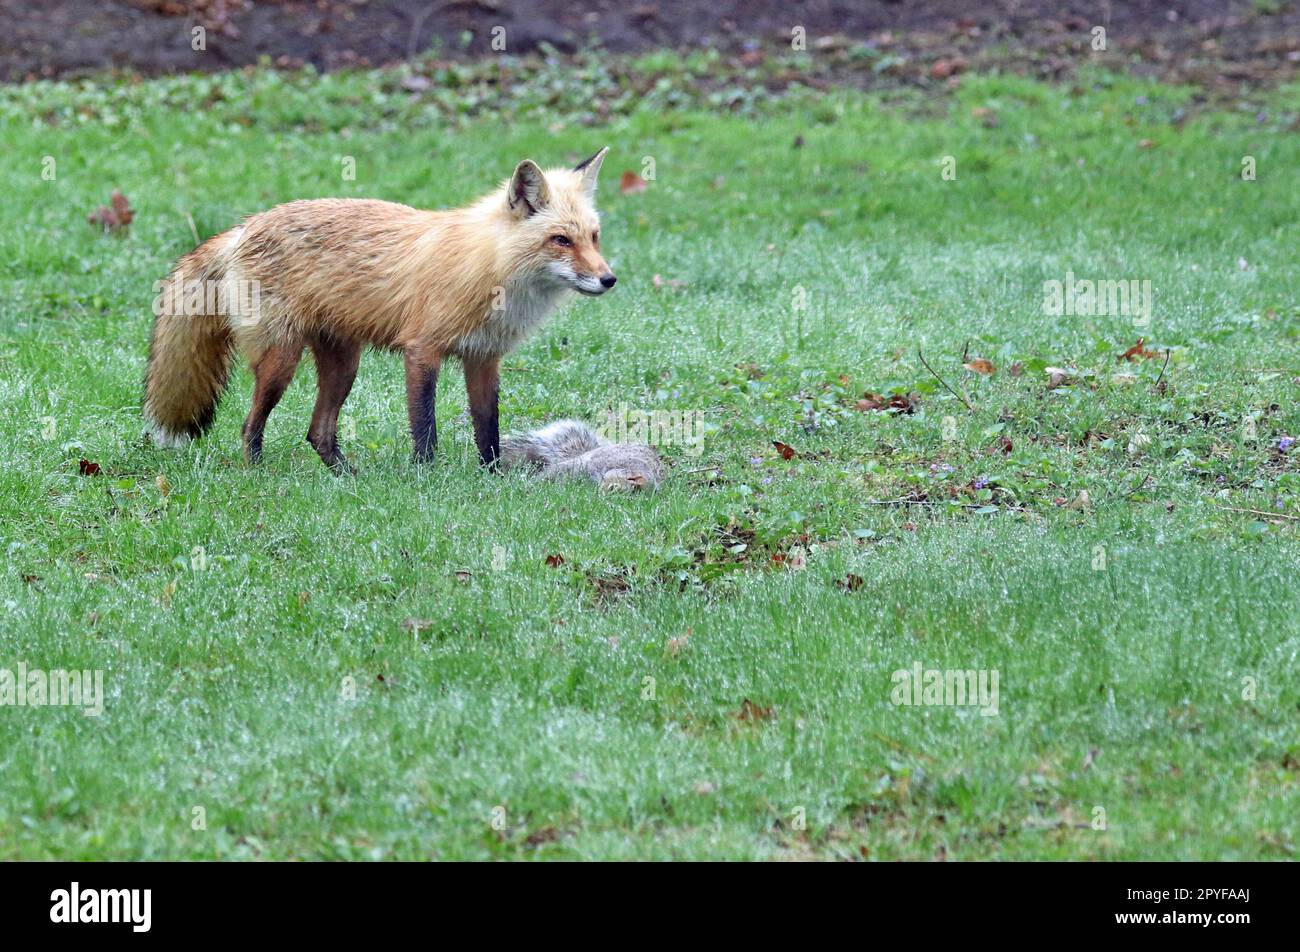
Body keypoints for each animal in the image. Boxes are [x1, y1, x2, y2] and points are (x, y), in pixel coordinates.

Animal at [142, 148, 616, 473]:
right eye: (560, 240)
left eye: (594, 237)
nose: (609, 279)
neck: (489, 267)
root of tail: (243, 227)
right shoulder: (422, 350)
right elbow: (424, 426)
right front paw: (427, 478)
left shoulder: (483, 358)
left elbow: (489, 429)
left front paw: (493, 477)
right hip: (282, 360)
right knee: (250, 425)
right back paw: (258, 472)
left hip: (343, 365)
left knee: (318, 432)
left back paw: (348, 477)